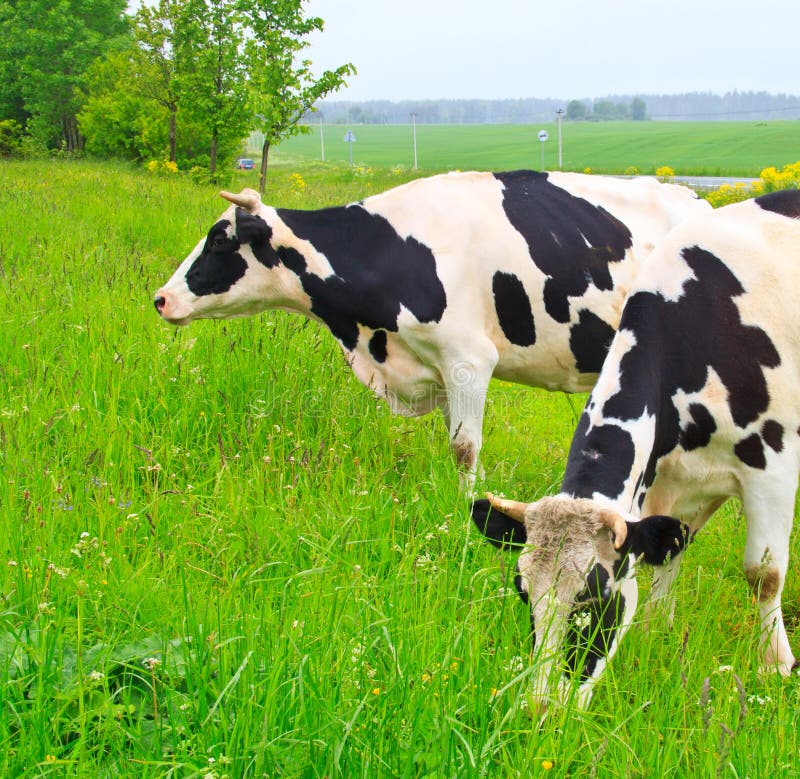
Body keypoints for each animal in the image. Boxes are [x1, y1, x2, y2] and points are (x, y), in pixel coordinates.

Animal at [154, 170, 708, 480]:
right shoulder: (435, 368)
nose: (160, 299)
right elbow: (452, 442)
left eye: (220, 240)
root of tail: (698, 201)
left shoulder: (468, 360)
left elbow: (465, 448)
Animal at [472, 189, 800, 711]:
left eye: (596, 598)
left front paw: (776, 665)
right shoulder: (672, 481)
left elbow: (763, 573)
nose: (542, 708)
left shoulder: (772, 464)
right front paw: (654, 635)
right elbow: (668, 550)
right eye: (523, 592)